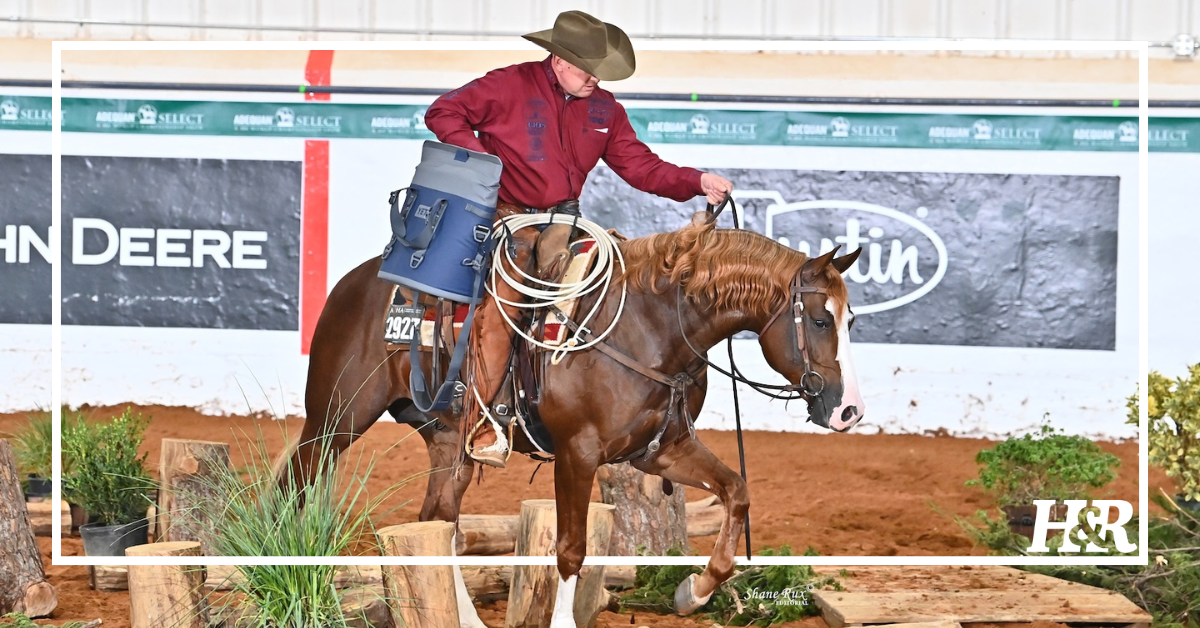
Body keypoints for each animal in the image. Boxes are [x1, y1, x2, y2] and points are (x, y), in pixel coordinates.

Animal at [286, 213, 865, 627]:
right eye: (819, 319)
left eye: (851, 320)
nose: (849, 411)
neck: (647, 329)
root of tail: (355, 281)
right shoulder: (577, 453)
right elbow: (570, 550)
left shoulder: (664, 450)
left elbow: (736, 492)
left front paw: (691, 592)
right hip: (337, 416)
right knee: (299, 481)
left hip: (449, 443)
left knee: (440, 522)